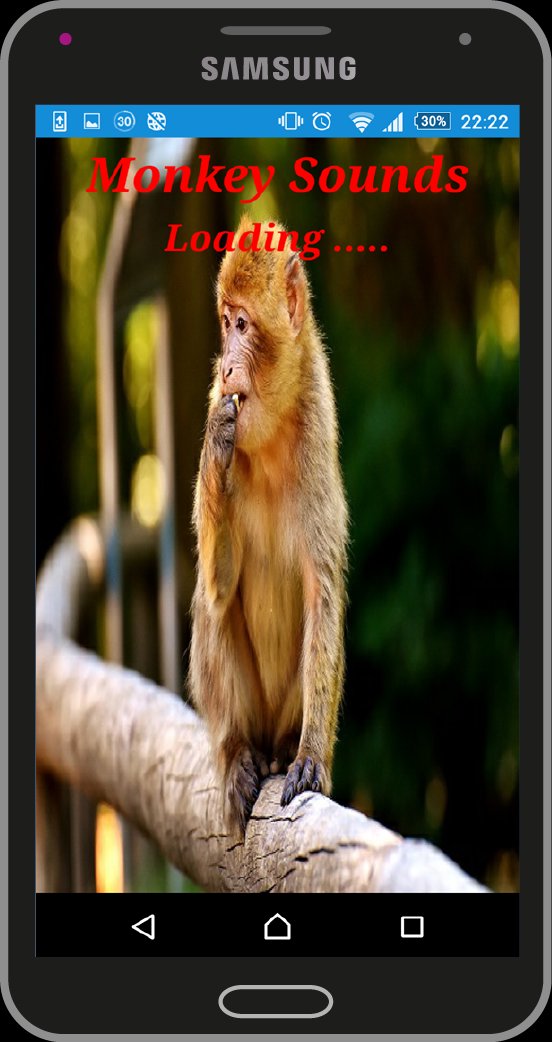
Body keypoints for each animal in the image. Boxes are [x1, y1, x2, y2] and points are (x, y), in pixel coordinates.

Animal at [188, 216, 348, 832]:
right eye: (223, 322)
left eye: (242, 324)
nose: (227, 362)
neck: (273, 430)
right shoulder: (218, 398)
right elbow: (218, 583)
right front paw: (217, 438)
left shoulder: (316, 429)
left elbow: (322, 593)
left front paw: (311, 756)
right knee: (211, 603)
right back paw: (237, 752)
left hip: (281, 710)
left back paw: (284, 749)